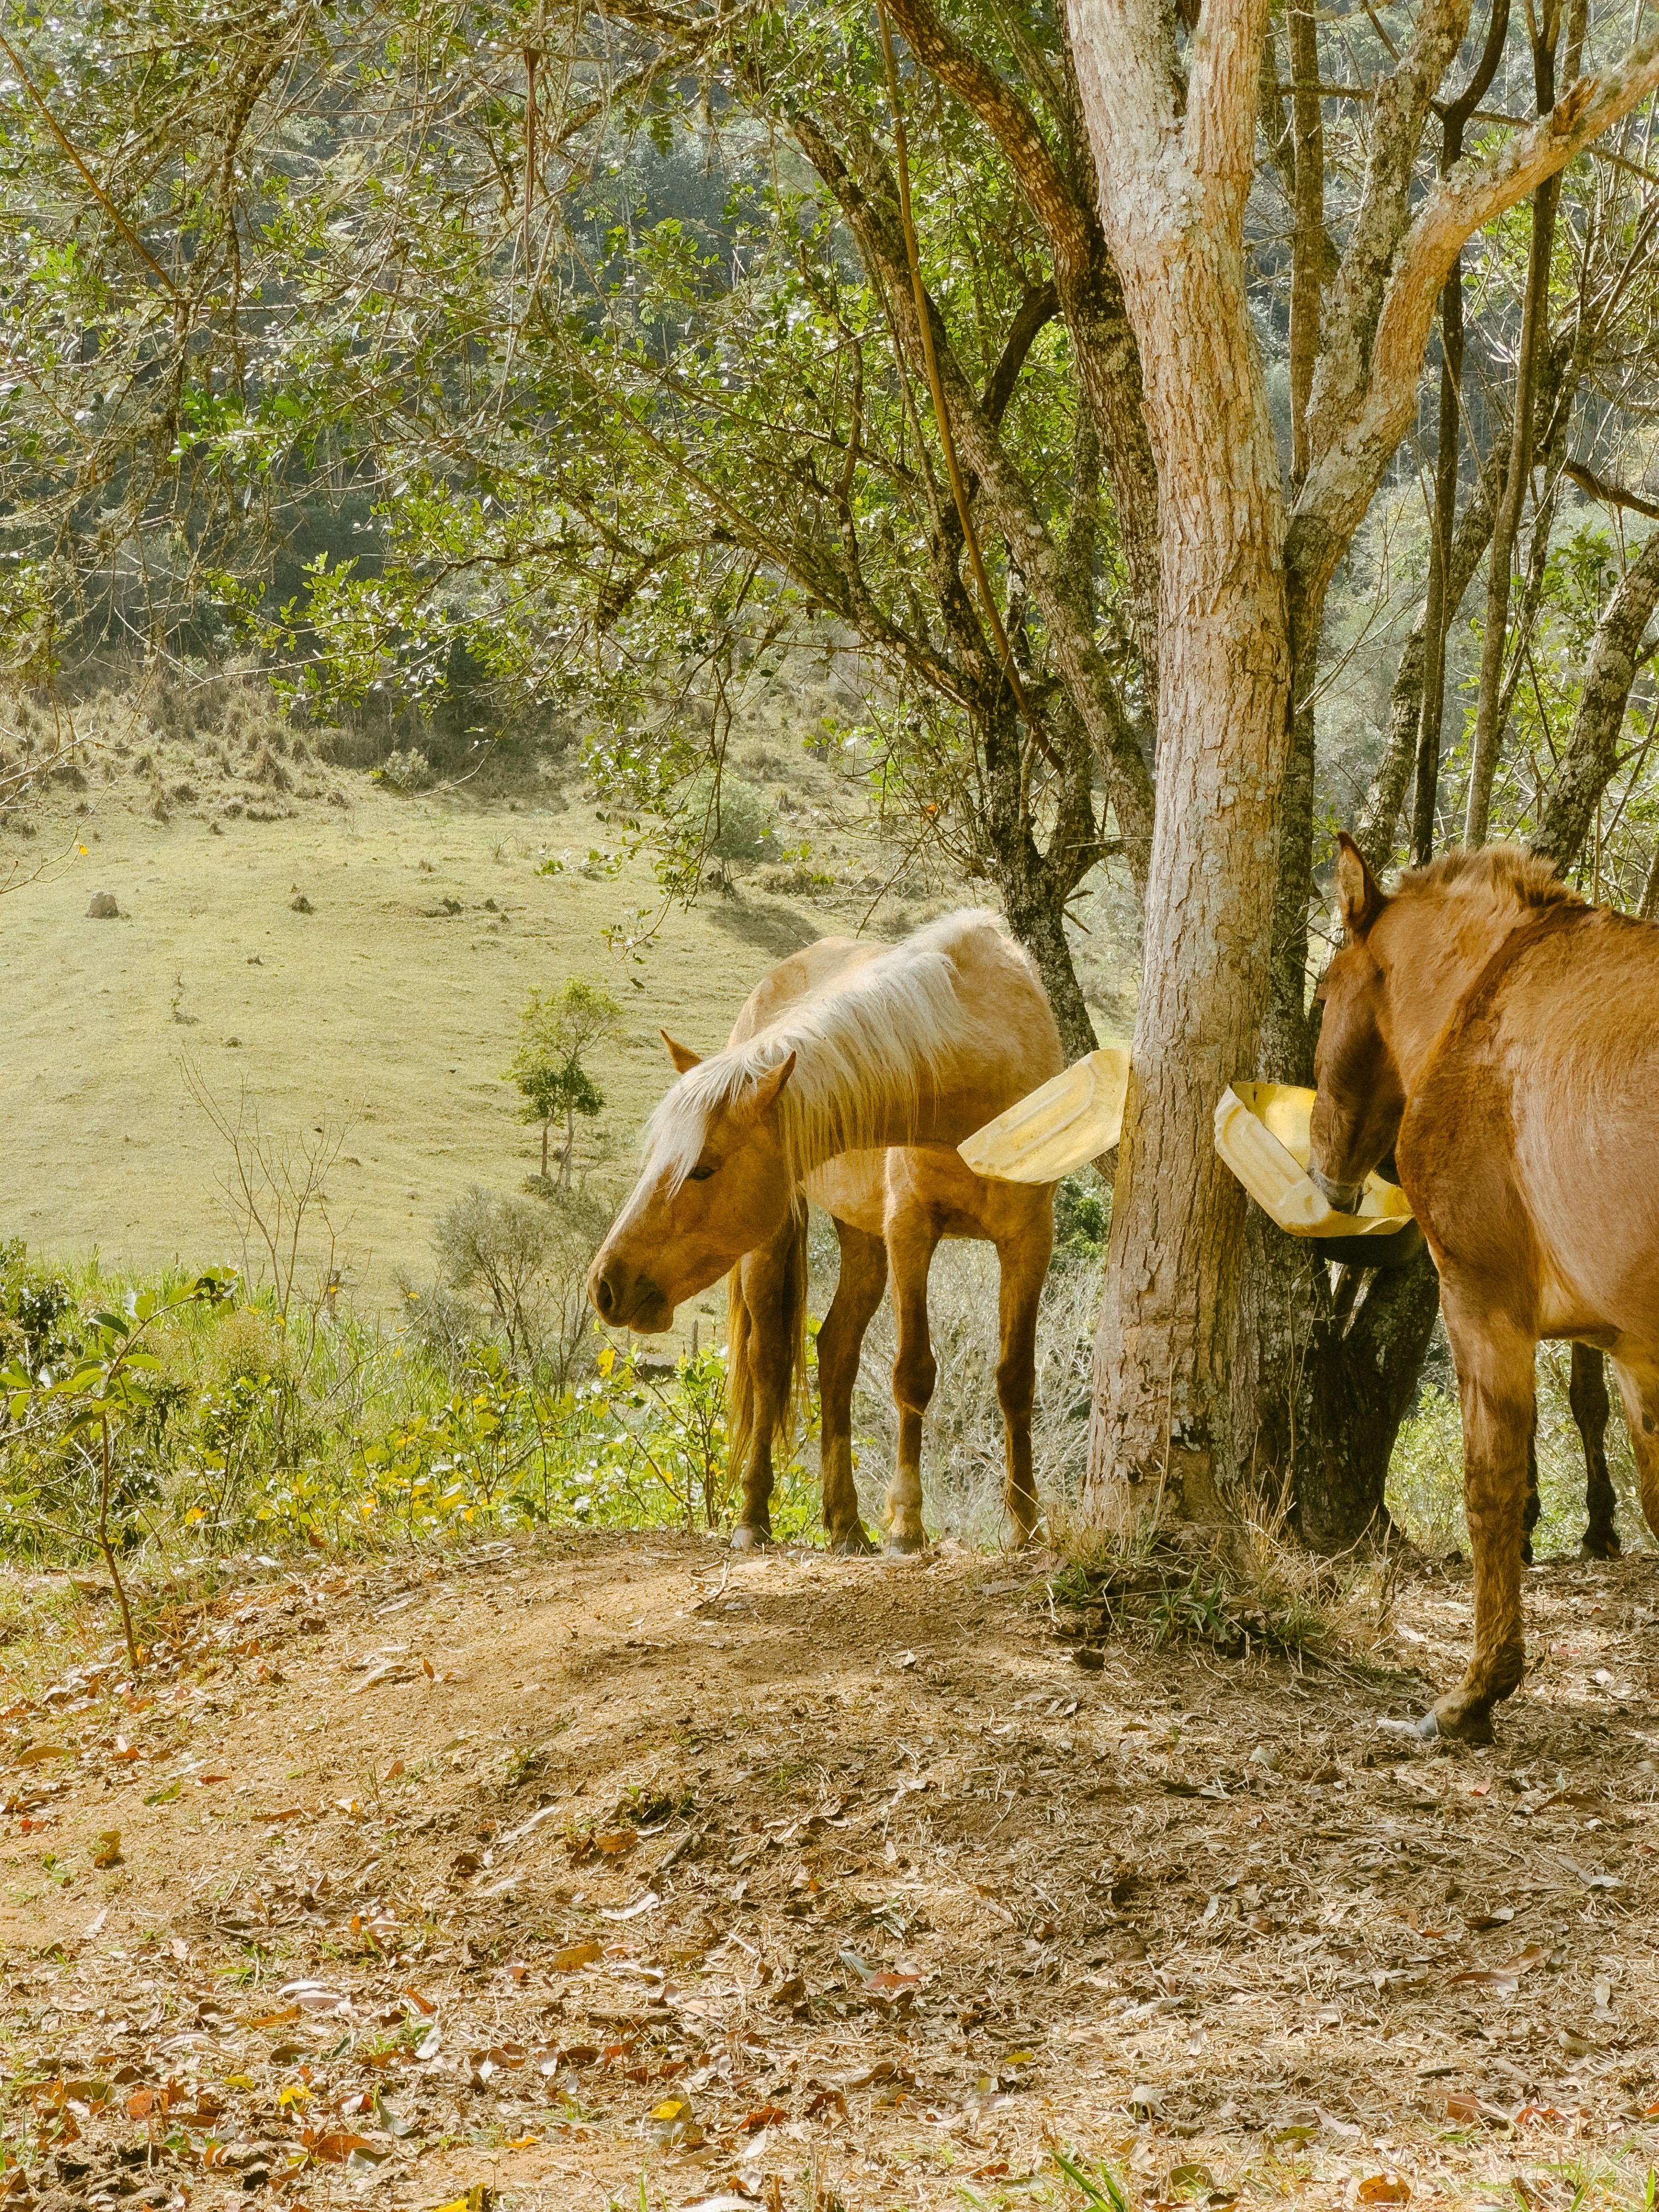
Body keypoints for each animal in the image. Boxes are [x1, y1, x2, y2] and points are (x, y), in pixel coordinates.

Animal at [587, 909, 1064, 1553]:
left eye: (703, 1168)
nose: (605, 1285)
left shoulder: (1029, 1239)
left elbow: (1016, 1378)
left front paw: (1025, 1522)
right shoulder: (911, 1232)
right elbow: (914, 1373)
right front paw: (907, 1525)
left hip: (862, 1239)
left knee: (836, 1352)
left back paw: (845, 1523)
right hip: (775, 1246)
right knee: (768, 1360)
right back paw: (754, 1516)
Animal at [1310, 834, 1658, 1741]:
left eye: (1323, 992)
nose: (1328, 1175)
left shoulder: (1483, 1305)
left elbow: (1491, 1487)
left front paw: (1475, 1694)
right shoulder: (1636, 1356)